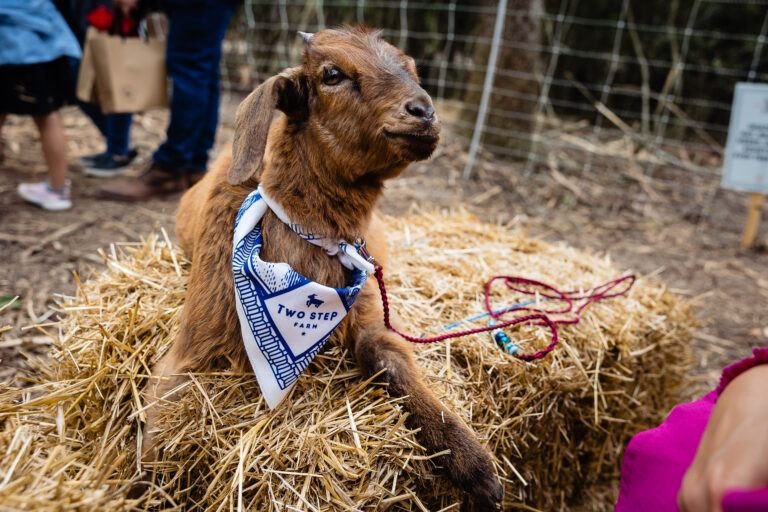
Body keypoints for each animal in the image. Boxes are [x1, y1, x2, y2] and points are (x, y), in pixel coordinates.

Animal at [142, 26, 502, 508]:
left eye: (410, 67)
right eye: (331, 74)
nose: (424, 113)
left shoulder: (372, 322)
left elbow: (400, 370)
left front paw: (476, 467)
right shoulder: (184, 354)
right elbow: (152, 448)